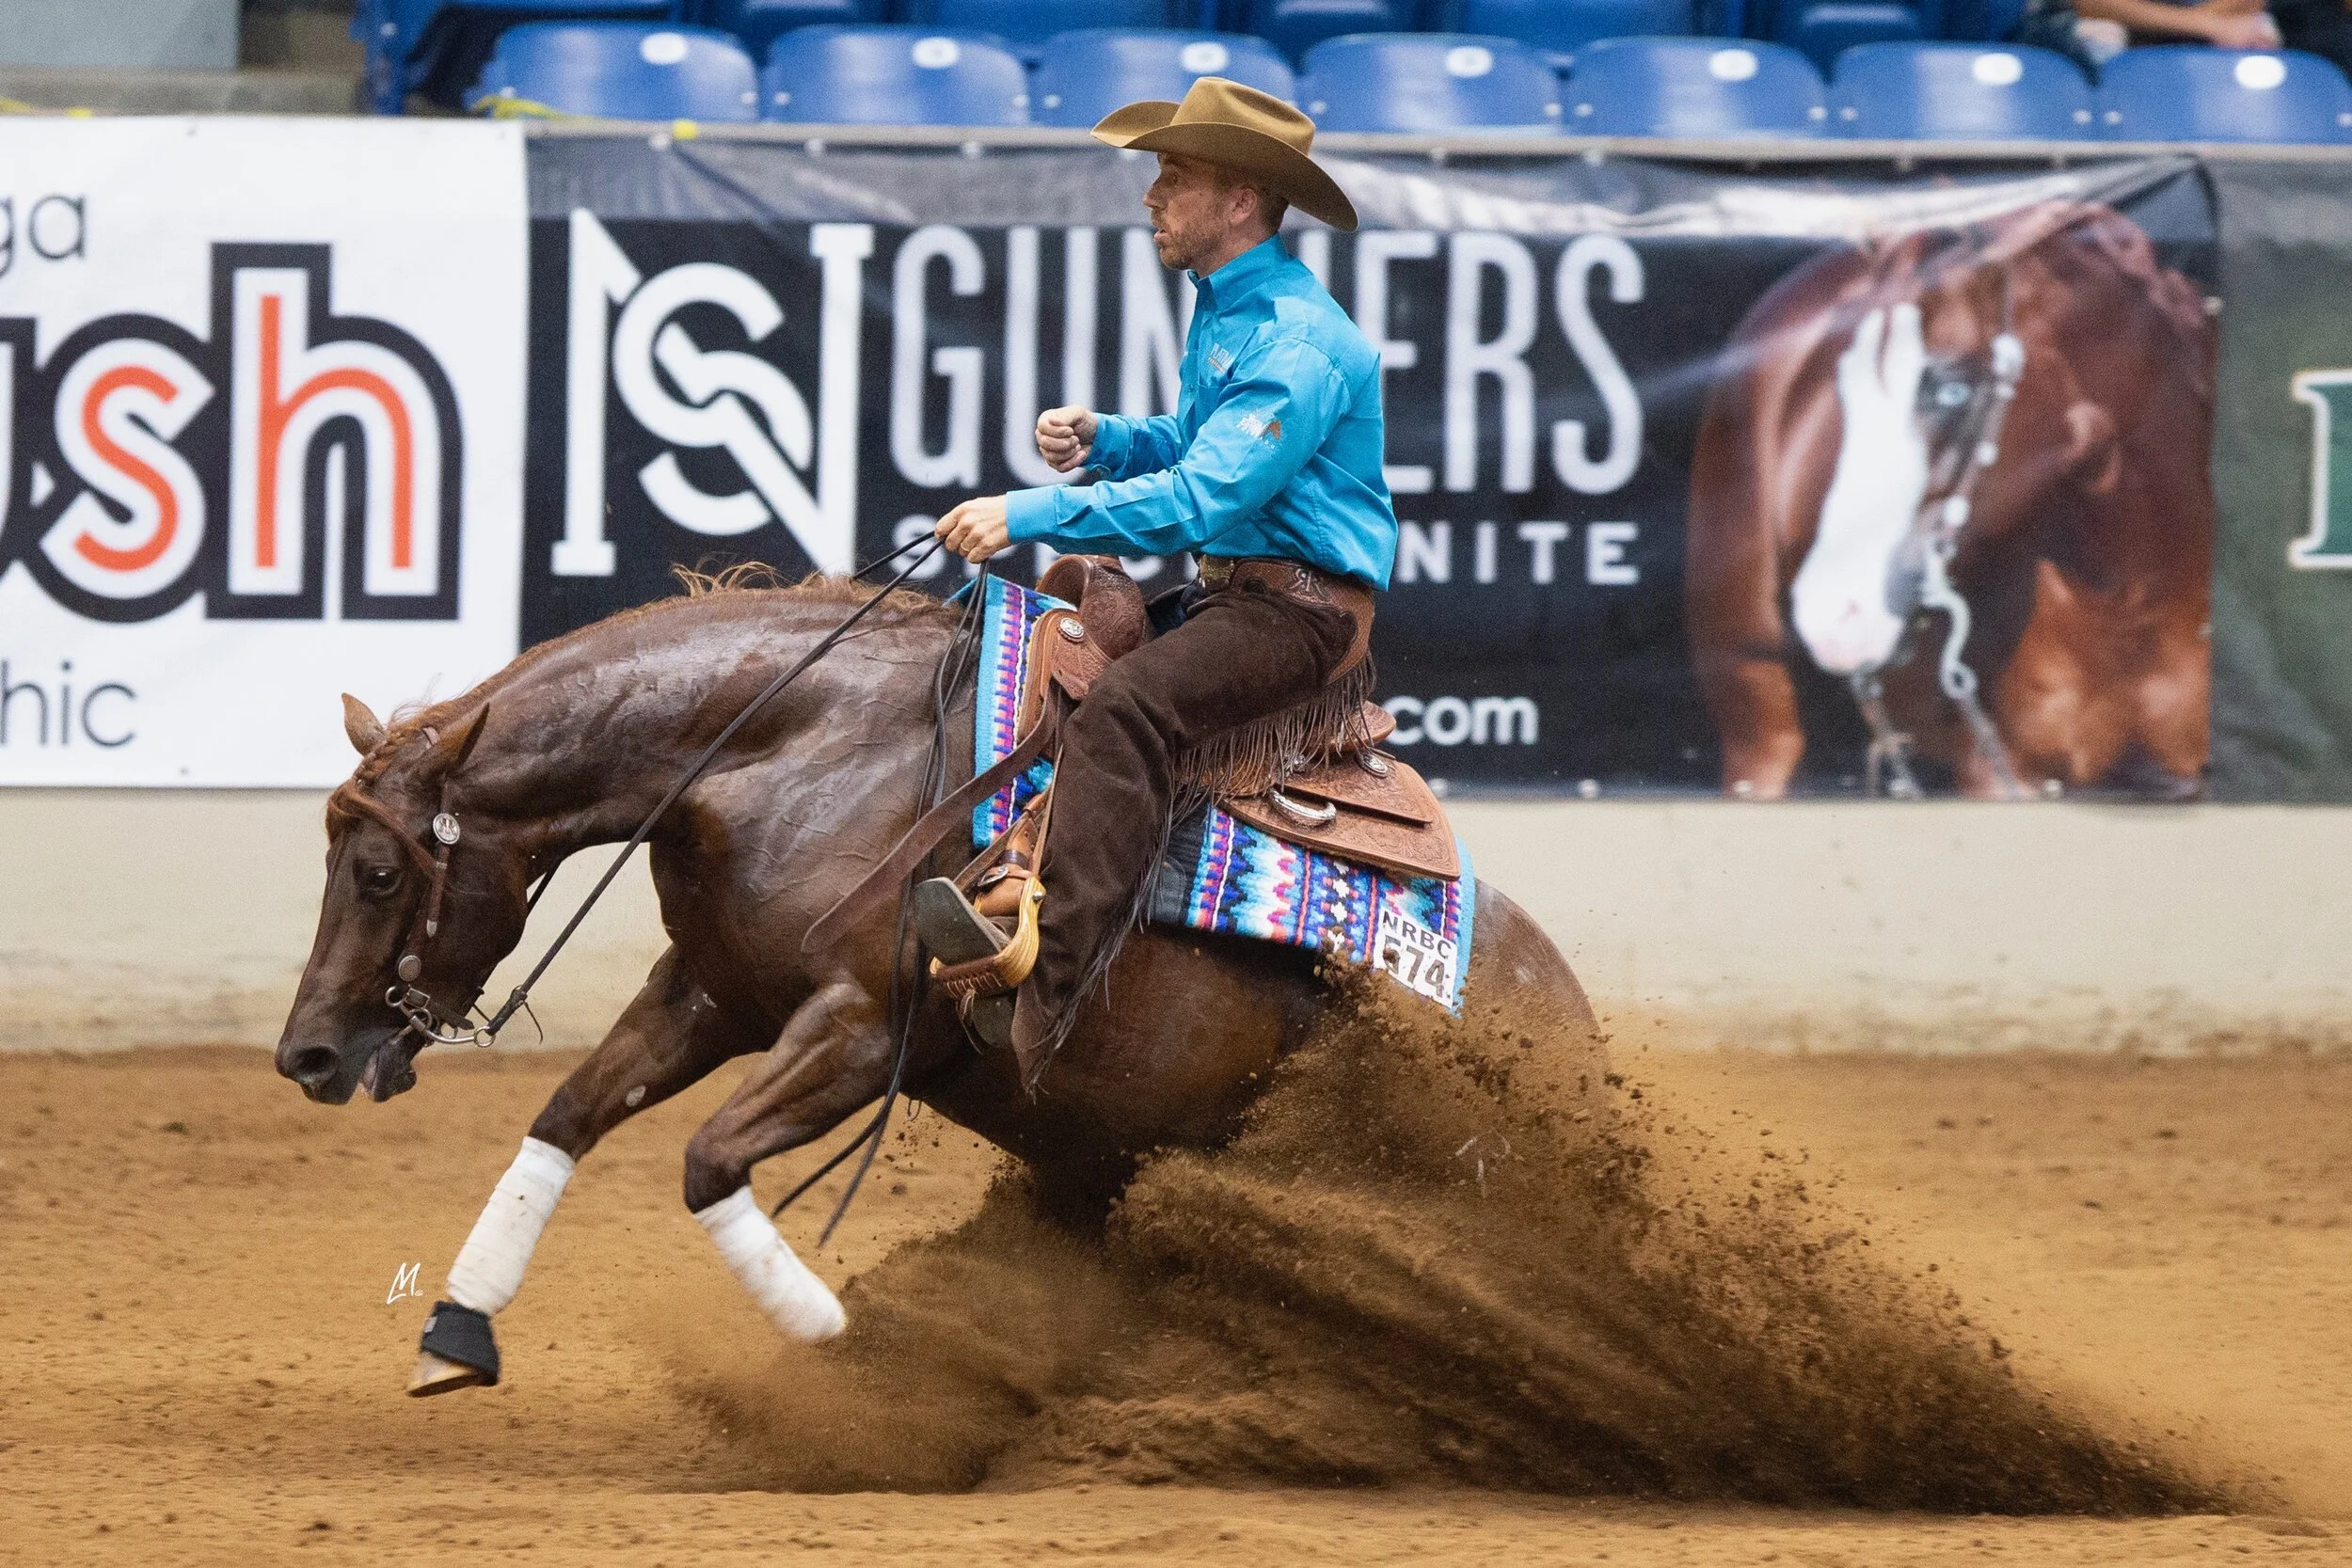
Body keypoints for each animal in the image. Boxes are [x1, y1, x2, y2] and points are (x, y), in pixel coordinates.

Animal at [273, 574, 1600, 1391]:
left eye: (380, 870)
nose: (308, 1055)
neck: (793, 748)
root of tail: (1566, 1023)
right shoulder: (712, 995)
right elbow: (568, 1114)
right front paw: (457, 1327)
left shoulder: (861, 1029)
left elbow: (708, 1158)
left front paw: (821, 1325)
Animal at [1684, 199, 2213, 800]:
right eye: (1842, 388)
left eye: (1953, 389)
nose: (1832, 612)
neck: (2135, 601)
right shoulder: (2001, 775)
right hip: (1759, 736)